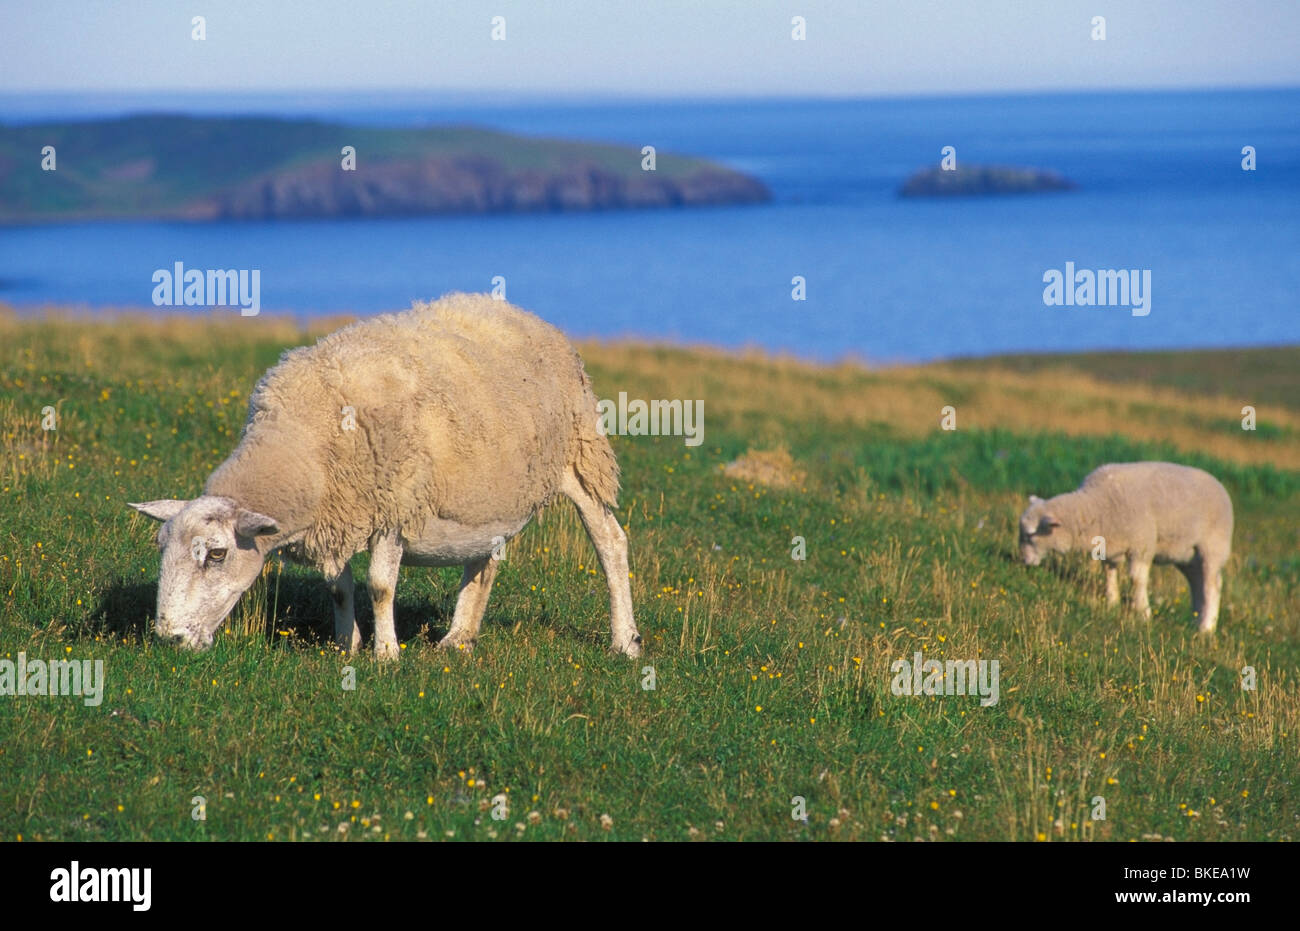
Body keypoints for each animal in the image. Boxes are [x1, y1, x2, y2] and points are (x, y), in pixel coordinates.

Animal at [129, 292, 642, 659]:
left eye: (216, 555)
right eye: (161, 548)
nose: (169, 639)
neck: (303, 447)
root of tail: (525, 315)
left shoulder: (395, 504)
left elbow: (380, 585)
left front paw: (386, 654)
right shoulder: (339, 514)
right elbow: (338, 588)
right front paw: (346, 645)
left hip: (579, 459)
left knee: (610, 543)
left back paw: (625, 641)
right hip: (486, 493)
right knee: (487, 558)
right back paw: (459, 636)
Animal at [1018, 461, 1233, 632]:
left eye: (1030, 535)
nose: (1024, 561)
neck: (1095, 506)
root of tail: (1220, 486)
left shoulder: (1142, 544)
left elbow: (1137, 579)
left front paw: (1143, 613)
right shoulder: (1110, 545)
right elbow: (1109, 572)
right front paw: (1112, 602)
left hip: (1213, 547)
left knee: (1212, 585)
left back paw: (1207, 627)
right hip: (1187, 557)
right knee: (1197, 584)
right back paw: (1195, 621)